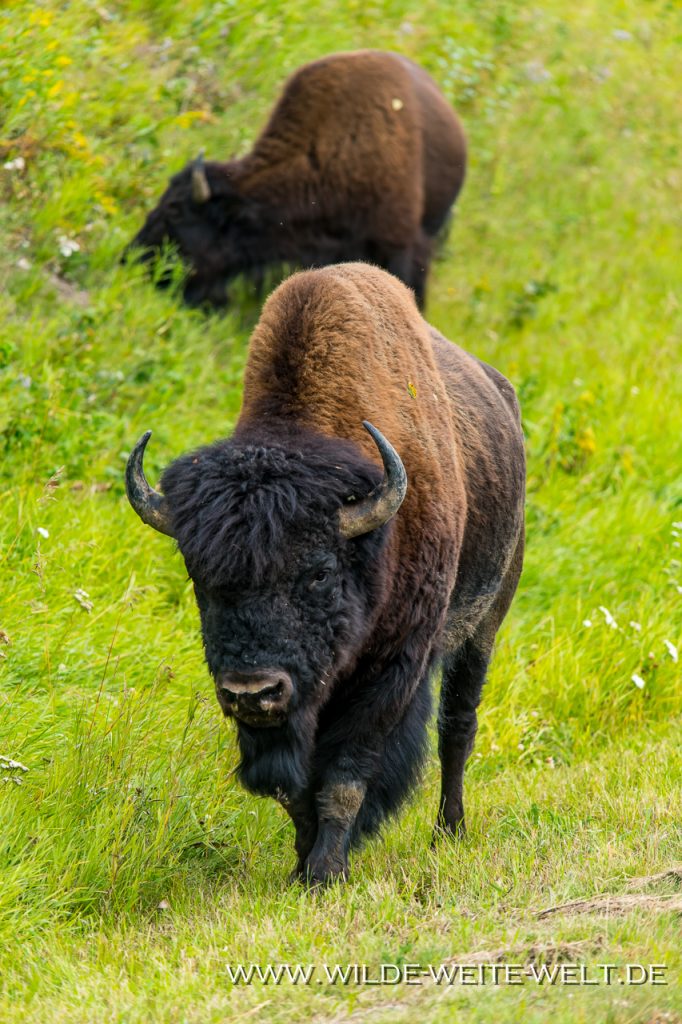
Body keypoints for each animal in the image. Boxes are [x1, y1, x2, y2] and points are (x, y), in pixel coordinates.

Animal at [125, 263, 524, 885]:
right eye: (200, 578)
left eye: (317, 574)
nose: (252, 691)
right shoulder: (289, 710)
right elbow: (296, 787)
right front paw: (302, 863)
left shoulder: (392, 667)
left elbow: (345, 775)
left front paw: (325, 871)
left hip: (484, 624)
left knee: (457, 726)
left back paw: (449, 832)